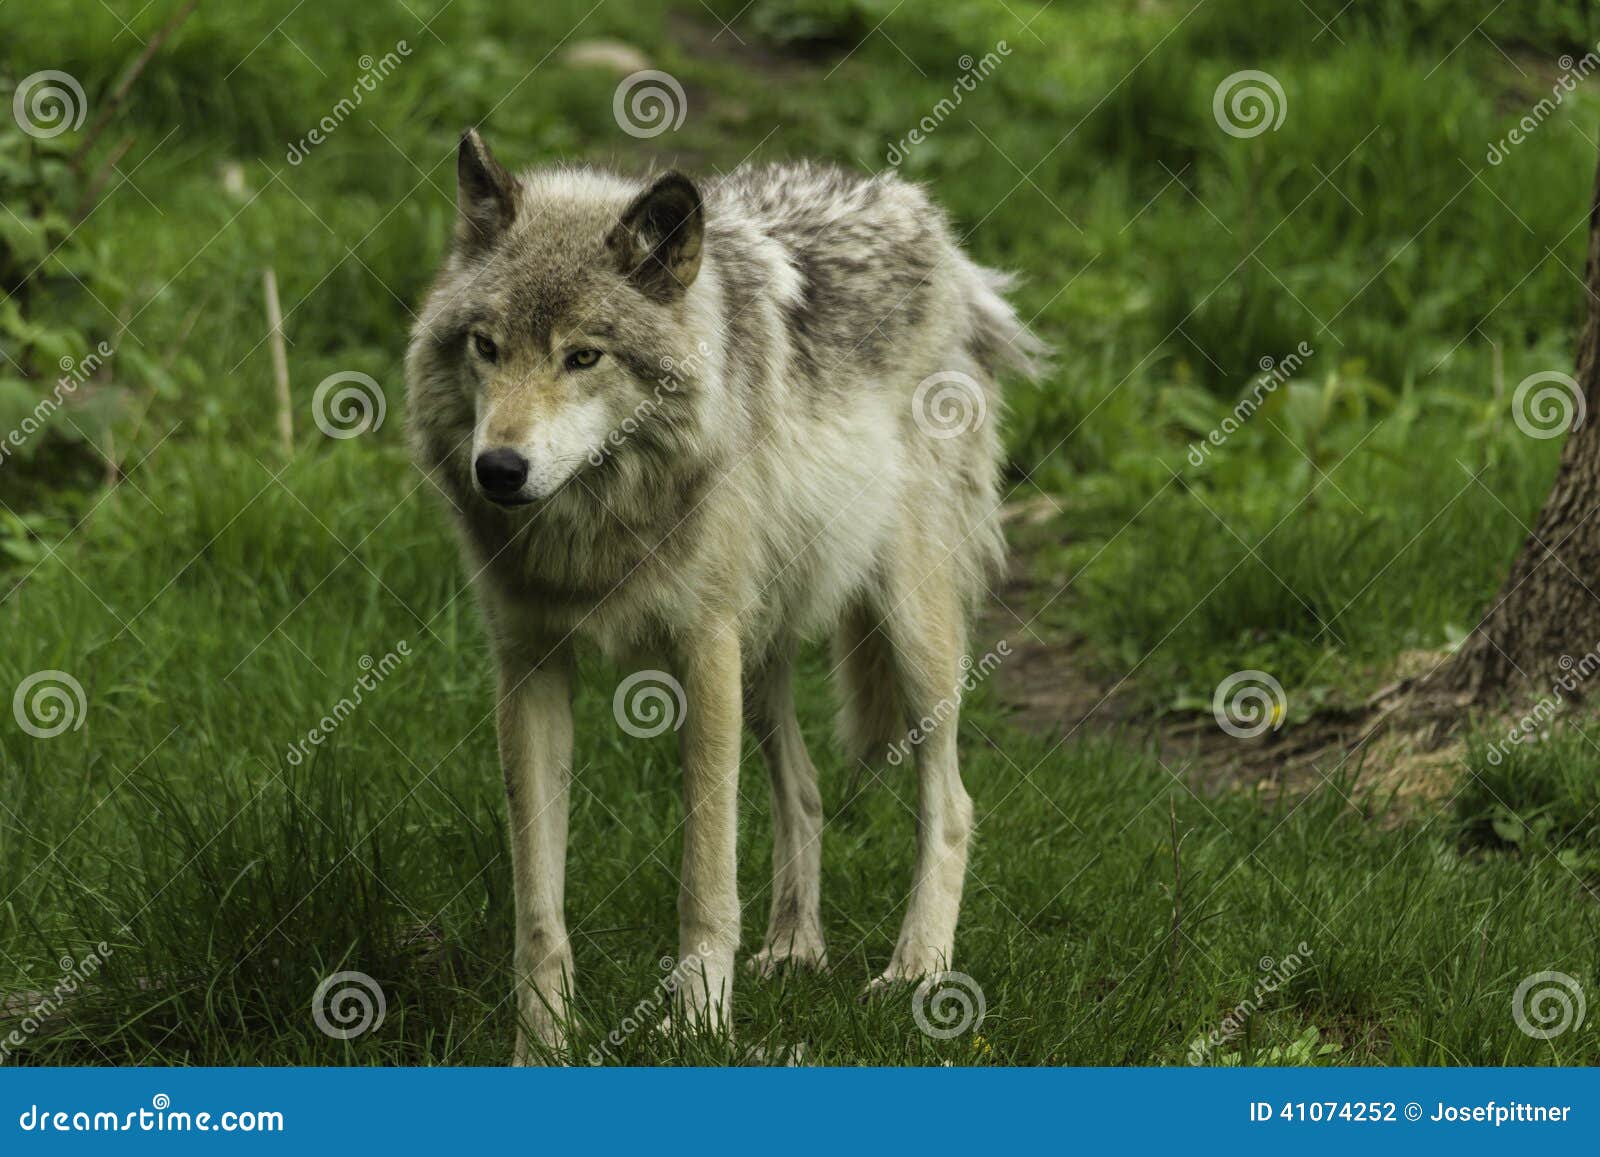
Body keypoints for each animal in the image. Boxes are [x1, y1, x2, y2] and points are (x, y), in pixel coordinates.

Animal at [406, 129, 1043, 1062]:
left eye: (583, 356)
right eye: (486, 346)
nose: (499, 470)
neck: (598, 529)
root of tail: (925, 219)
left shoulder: (703, 653)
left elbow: (705, 881)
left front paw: (699, 1026)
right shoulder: (529, 667)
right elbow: (538, 908)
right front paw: (544, 1047)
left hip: (908, 627)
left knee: (951, 804)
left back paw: (917, 970)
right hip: (761, 650)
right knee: (806, 790)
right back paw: (794, 946)